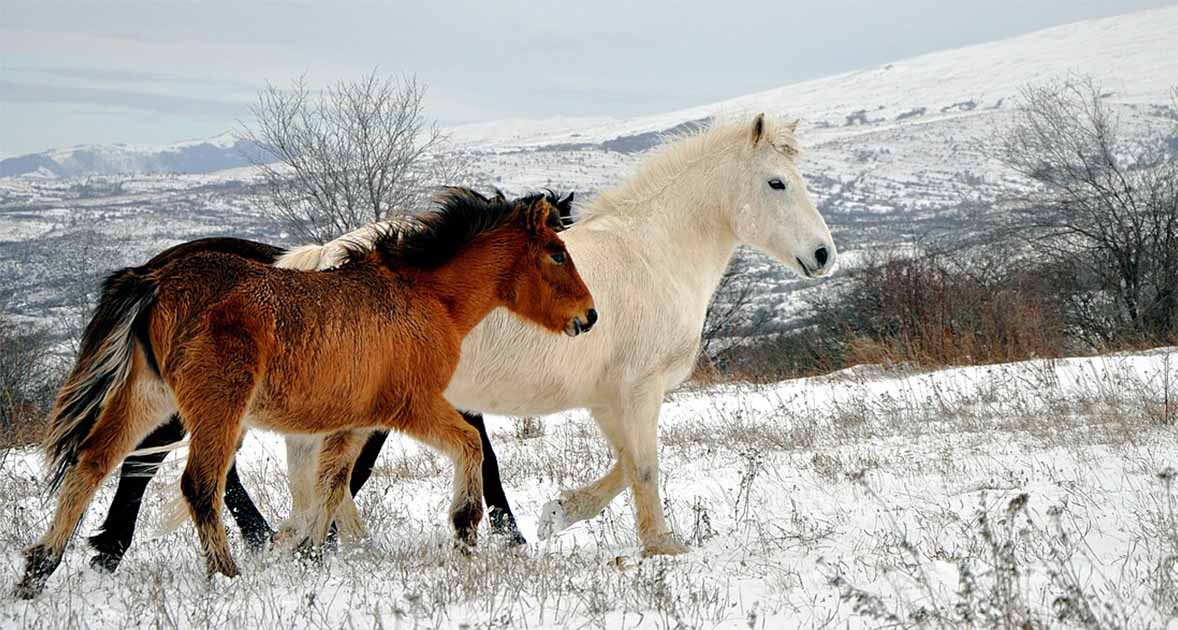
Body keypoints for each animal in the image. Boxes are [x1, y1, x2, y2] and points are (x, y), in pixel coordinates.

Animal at [14, 190, 597, 599]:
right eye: (556, 254)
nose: (588, 316)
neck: (424, 295)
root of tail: (152, 277)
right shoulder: (413, 406)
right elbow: (471, 451)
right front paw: (467, 530)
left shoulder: (356, 421)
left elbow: (332, 483)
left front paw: (311, 554)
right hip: (216, 405)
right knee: (197, 482)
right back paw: (227, 575)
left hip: (150, 397)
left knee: (95, 461)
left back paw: (41, 569)